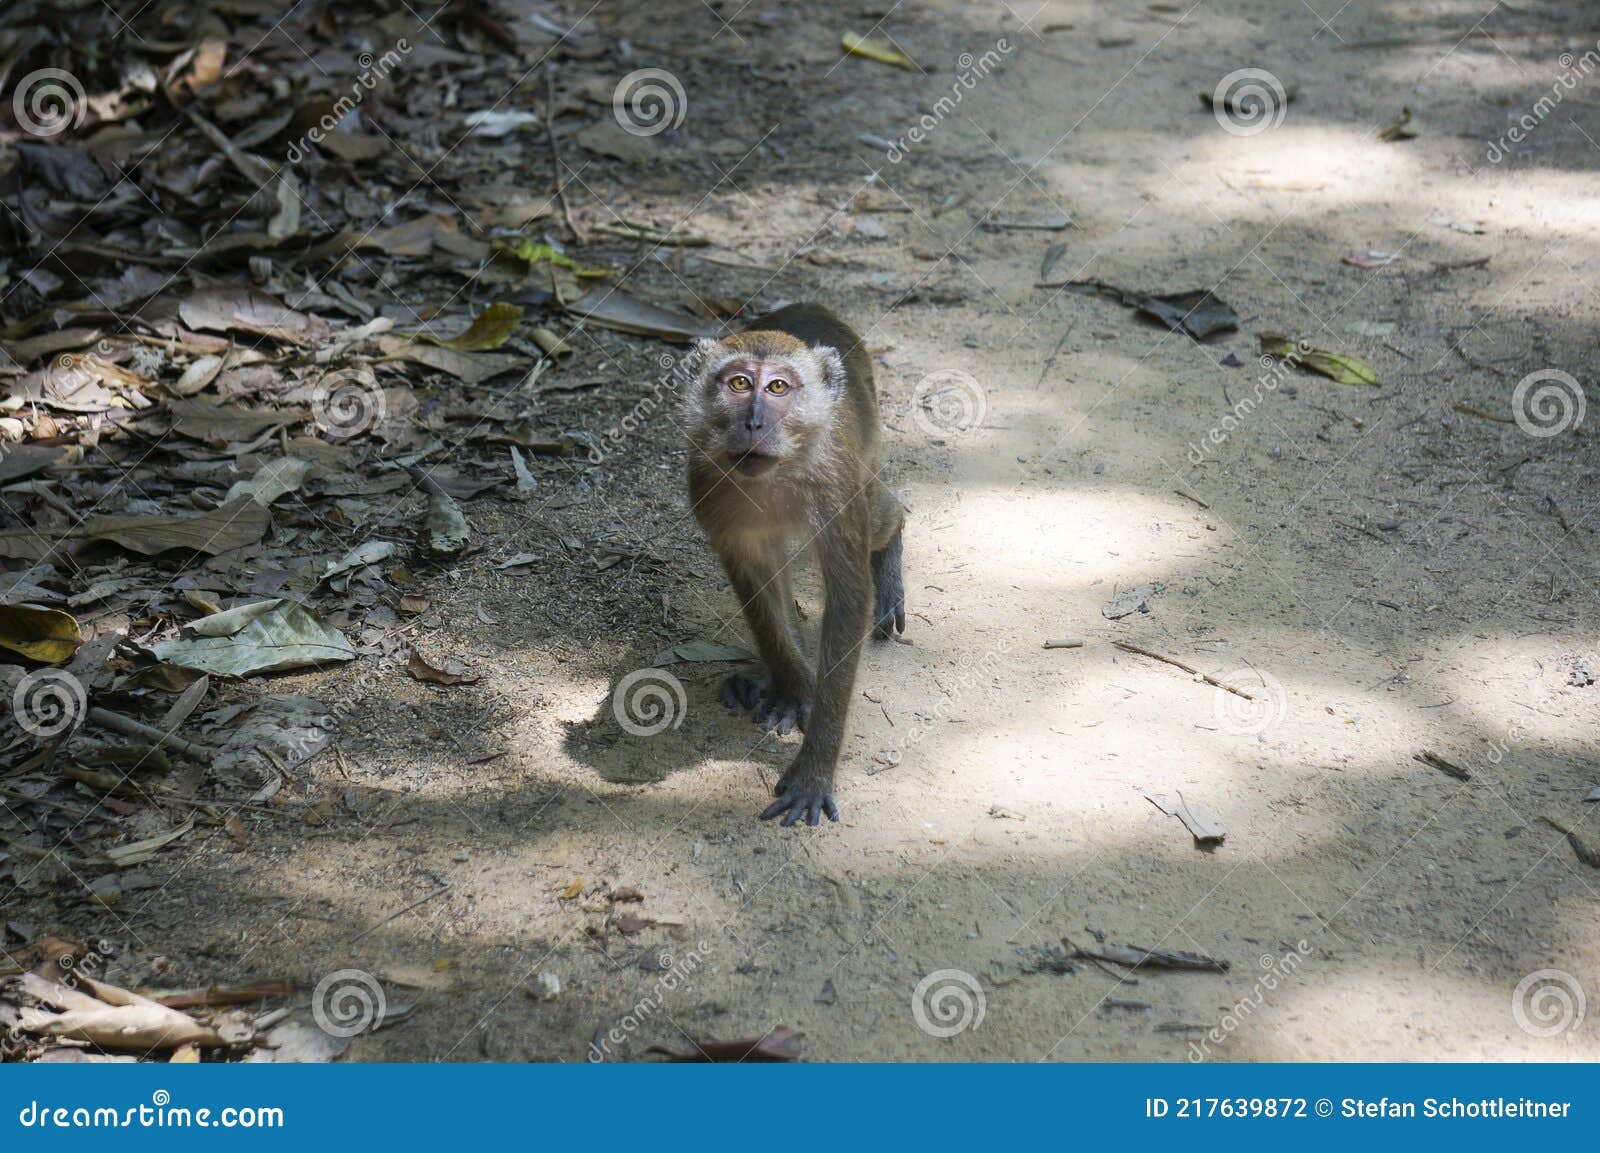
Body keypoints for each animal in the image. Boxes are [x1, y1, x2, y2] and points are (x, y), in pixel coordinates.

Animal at [684, 303, 905, 827]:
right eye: (739, 383)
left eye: (779, 387)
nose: (754, 422)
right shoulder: (707, 481)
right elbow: (755, 579)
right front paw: (793, 687)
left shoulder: (836, 484)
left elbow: (848, 600)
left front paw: (814, 769)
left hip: (866, 454)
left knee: (881, 518)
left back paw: (892, 549)